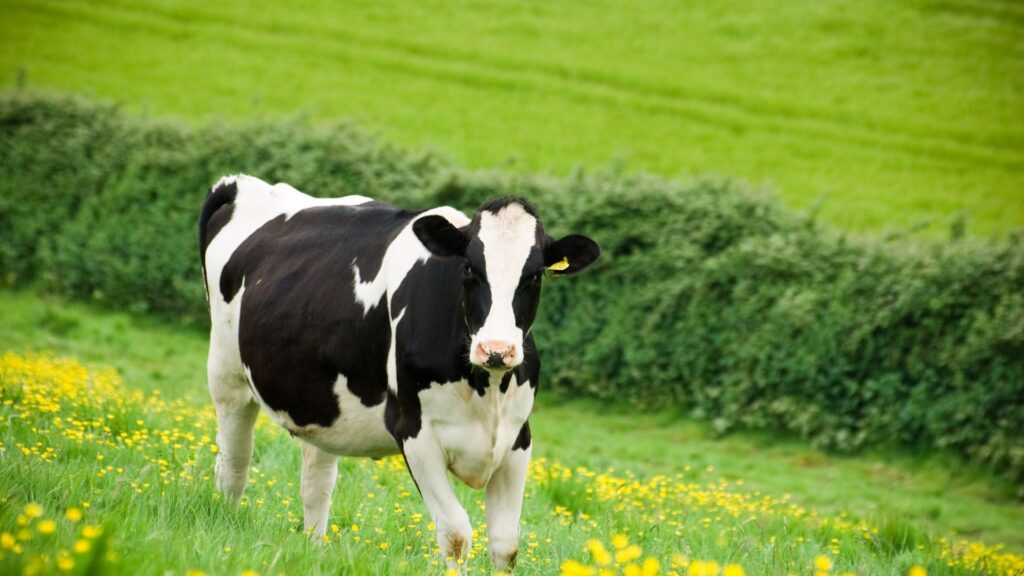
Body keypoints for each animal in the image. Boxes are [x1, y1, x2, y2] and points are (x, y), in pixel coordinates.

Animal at [198, 174, 599, 573]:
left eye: (534, 275)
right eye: (469, 268)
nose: (496, 349)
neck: (486, 391)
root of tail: (243, 183)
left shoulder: (517, 439)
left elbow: (506, 545)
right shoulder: (415, 433)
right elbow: (456, 534)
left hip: (322, 400)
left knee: (317, 480)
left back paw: (314, 550)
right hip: (227, 377)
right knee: (234, 463)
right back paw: (227, 529)